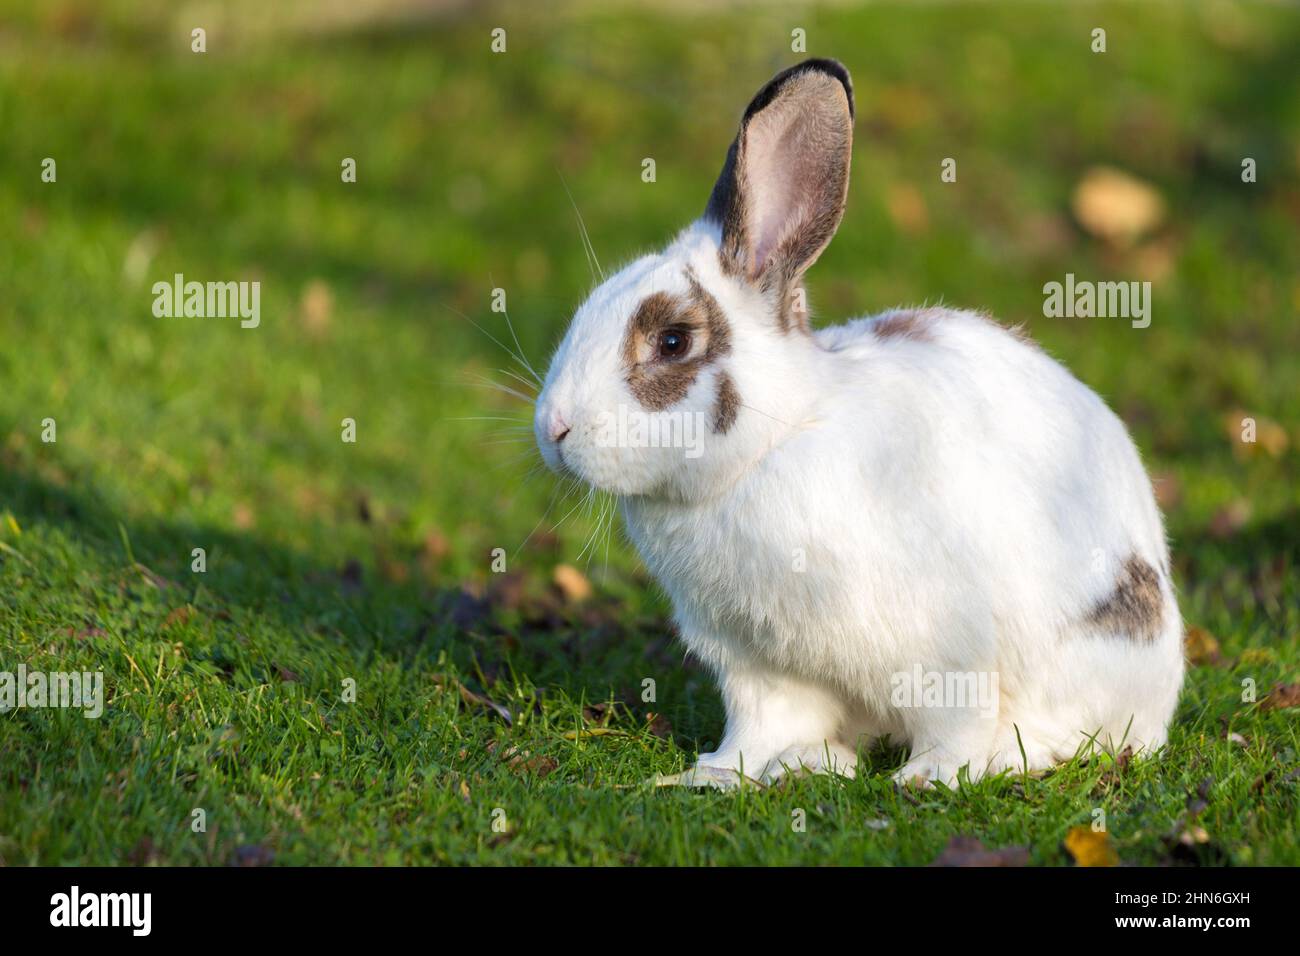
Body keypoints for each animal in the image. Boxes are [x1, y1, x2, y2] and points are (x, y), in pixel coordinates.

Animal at [533, 58, 1184, 788]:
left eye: (673, 342)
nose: (553, 430)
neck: (775, 442)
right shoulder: (756, 664)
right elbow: (759, 726)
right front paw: (716, 775)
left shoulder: (948, 651)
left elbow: (955, 723)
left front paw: (927, 778)